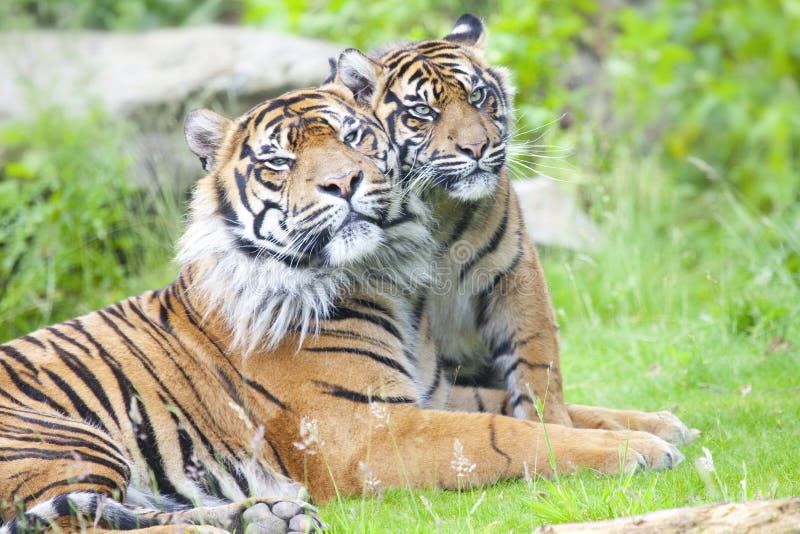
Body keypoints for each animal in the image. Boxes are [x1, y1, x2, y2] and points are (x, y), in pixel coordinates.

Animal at [0, 83, 684, 533]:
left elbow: (538, 408)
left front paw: (658, 423)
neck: (389, 281)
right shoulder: (368, 432)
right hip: (67, 439)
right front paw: (637, 451)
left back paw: (267, 516)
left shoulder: (428, 393)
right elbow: (509, 435)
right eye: (279, 161)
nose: (343, 183)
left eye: (353, 137)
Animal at [331, 13, 695, 444]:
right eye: (422, 110)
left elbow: (538, 366)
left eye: (476, 97)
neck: (436, 206)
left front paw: (553, 428)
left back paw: (665, 424)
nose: (476, 148)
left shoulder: (515, 274)